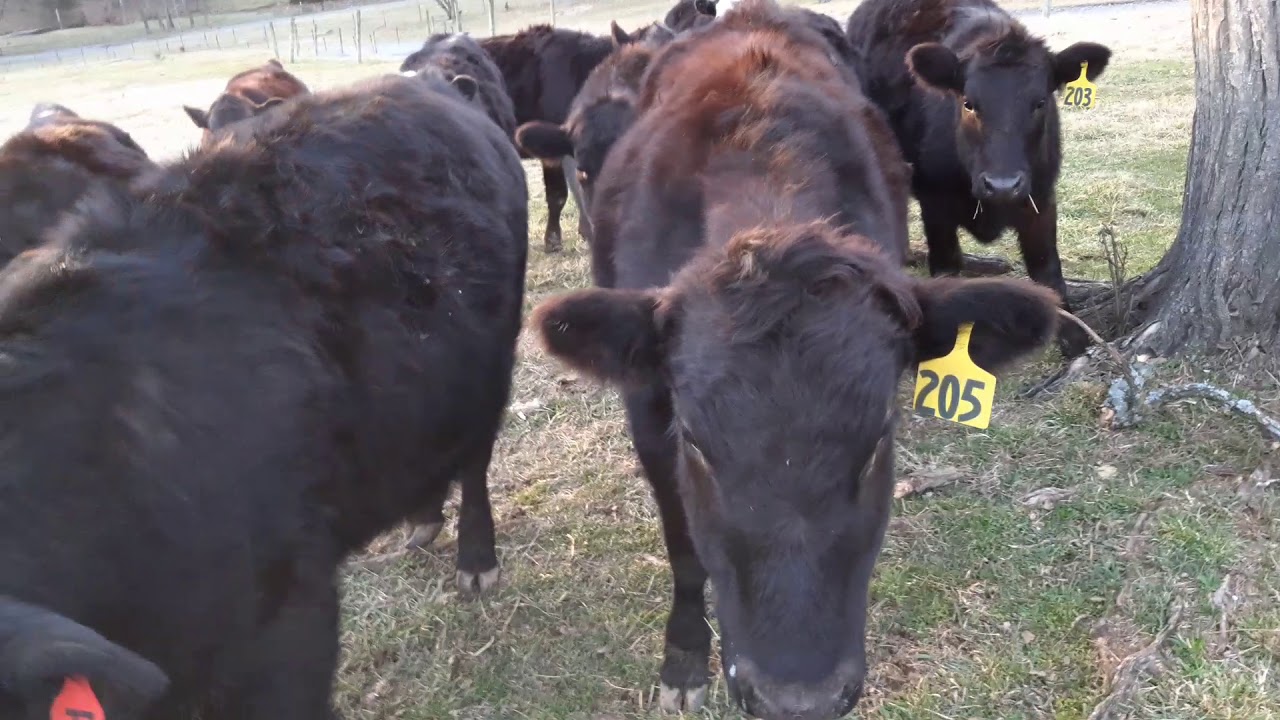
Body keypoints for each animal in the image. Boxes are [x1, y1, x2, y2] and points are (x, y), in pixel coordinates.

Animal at [531, 1, 1058, 718]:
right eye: (695, 442)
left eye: (878, 438)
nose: (798, 699)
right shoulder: (647, 408)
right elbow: (682, 538)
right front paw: (684, 655)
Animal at [845, 0, 1111, 357]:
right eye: (969, 103)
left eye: (1040, 102)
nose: (1002, 185)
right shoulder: (935, 205)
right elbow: (945, 267)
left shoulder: (1040, 199)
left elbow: (1048, 271)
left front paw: (1077, 341)